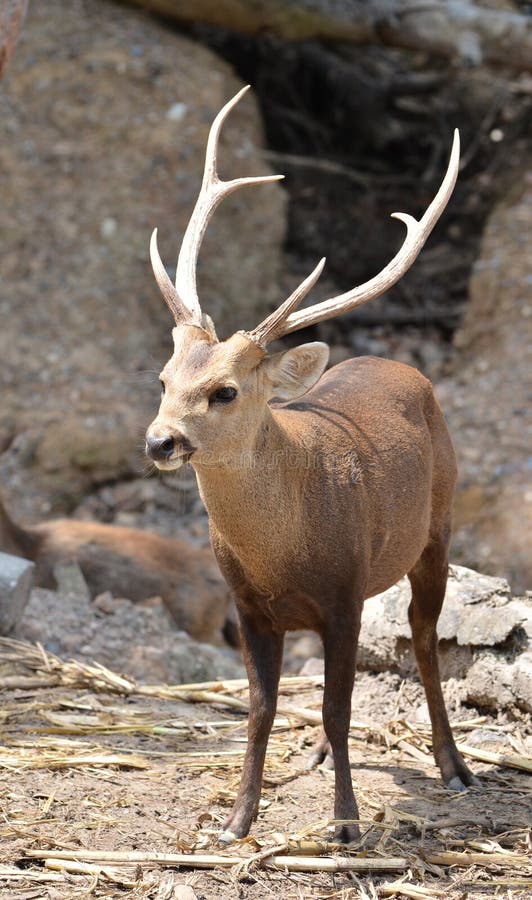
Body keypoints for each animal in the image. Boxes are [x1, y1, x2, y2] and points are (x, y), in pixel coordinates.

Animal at [145, 86, 480, 843]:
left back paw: (454, 766)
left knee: (423, 641)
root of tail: (398, 364)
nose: (160, 441)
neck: (283, 553)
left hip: (438, 526)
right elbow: (262, 709)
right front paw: (237, 820)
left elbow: (339, 702)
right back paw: (324, 756)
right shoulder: (249, 605)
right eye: (164, 378)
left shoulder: (342, 592)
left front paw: (348, 823)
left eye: (226, 390)